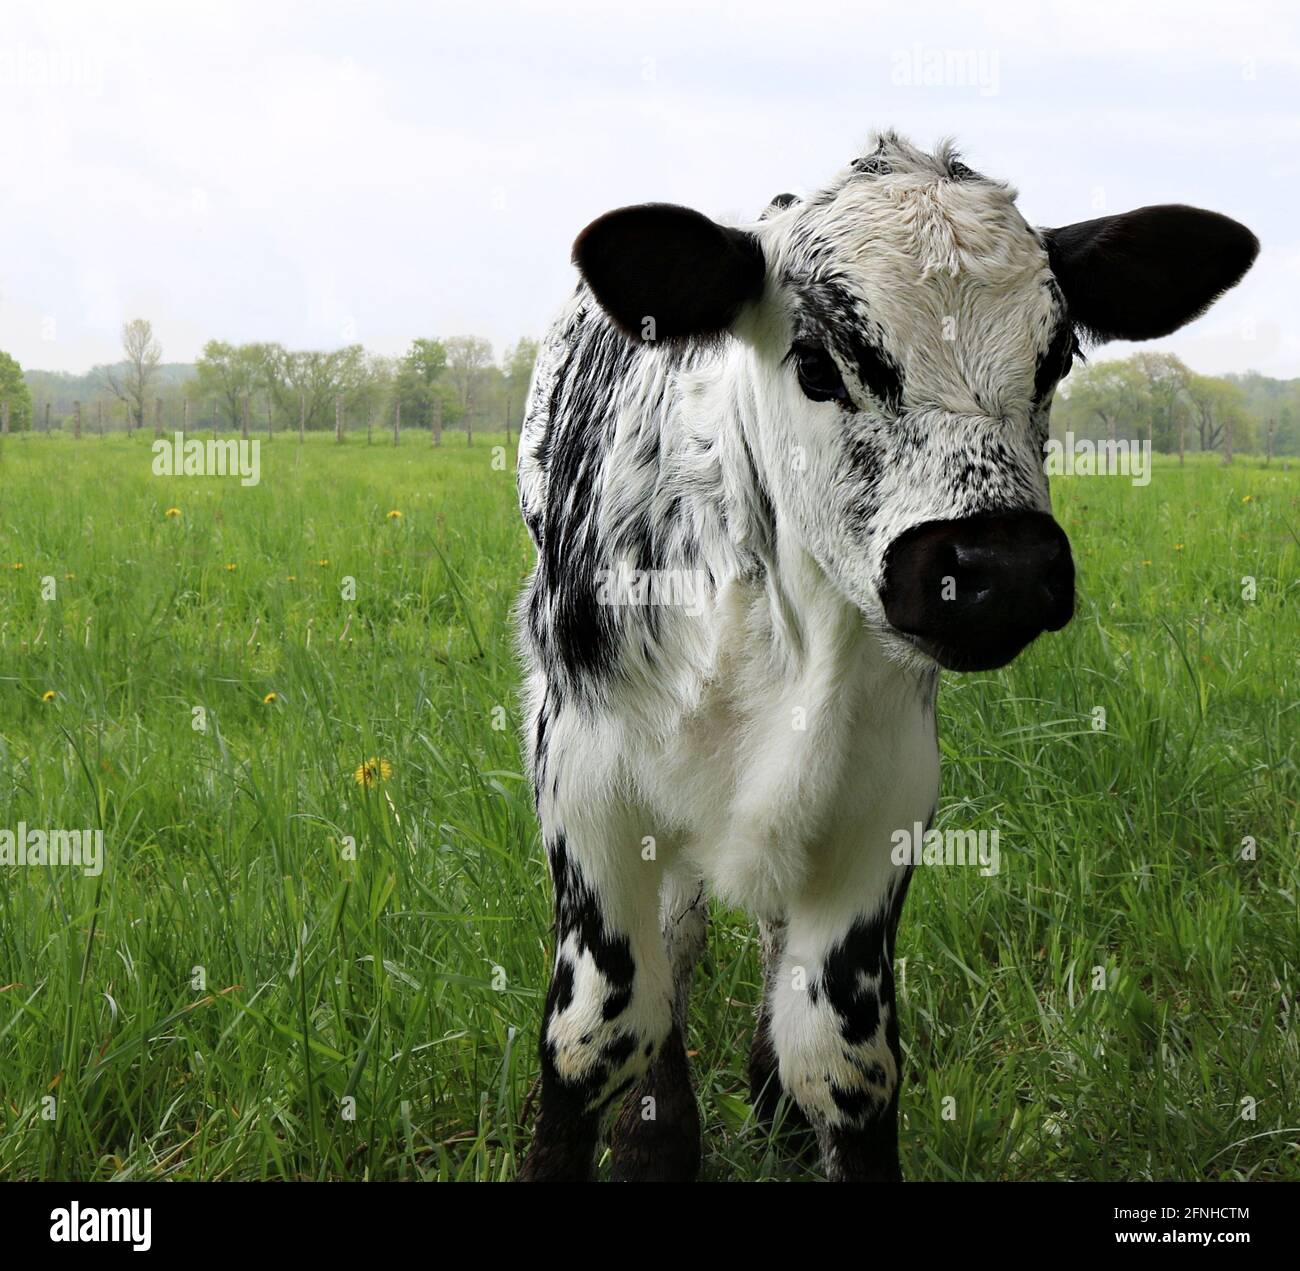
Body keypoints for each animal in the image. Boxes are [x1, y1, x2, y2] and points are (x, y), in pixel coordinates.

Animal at [513, 132, 1257, 1182]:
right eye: (818, 364)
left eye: (1056, 357)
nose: (1001, 568)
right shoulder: (582, 771)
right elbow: (598, 1030)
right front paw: (650, 1134)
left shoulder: (888, 787)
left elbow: (843, 1053)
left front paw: (790, 1098)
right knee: (677, 935)